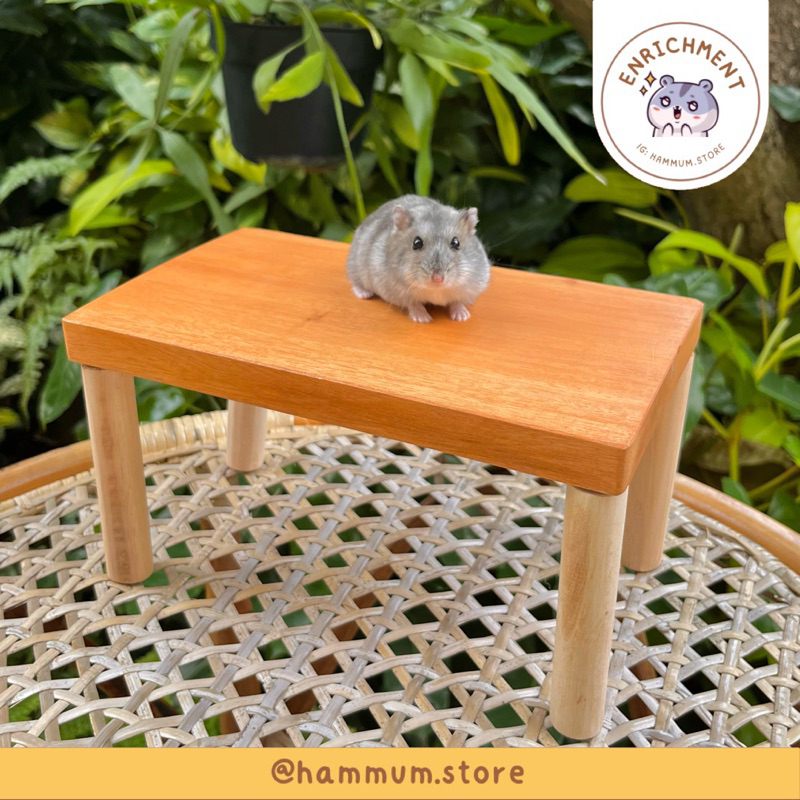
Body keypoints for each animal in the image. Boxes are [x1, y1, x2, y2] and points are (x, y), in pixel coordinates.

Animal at [346, 194, 490, 323]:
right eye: (417, 243)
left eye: (456, 242)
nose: (438, 279)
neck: (436, 290)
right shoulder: (398, 291)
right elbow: (414, 304)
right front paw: (424, 320)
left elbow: (458, 301)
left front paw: (462, 317)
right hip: (355, 267)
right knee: (356, 283)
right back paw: (364, 294)